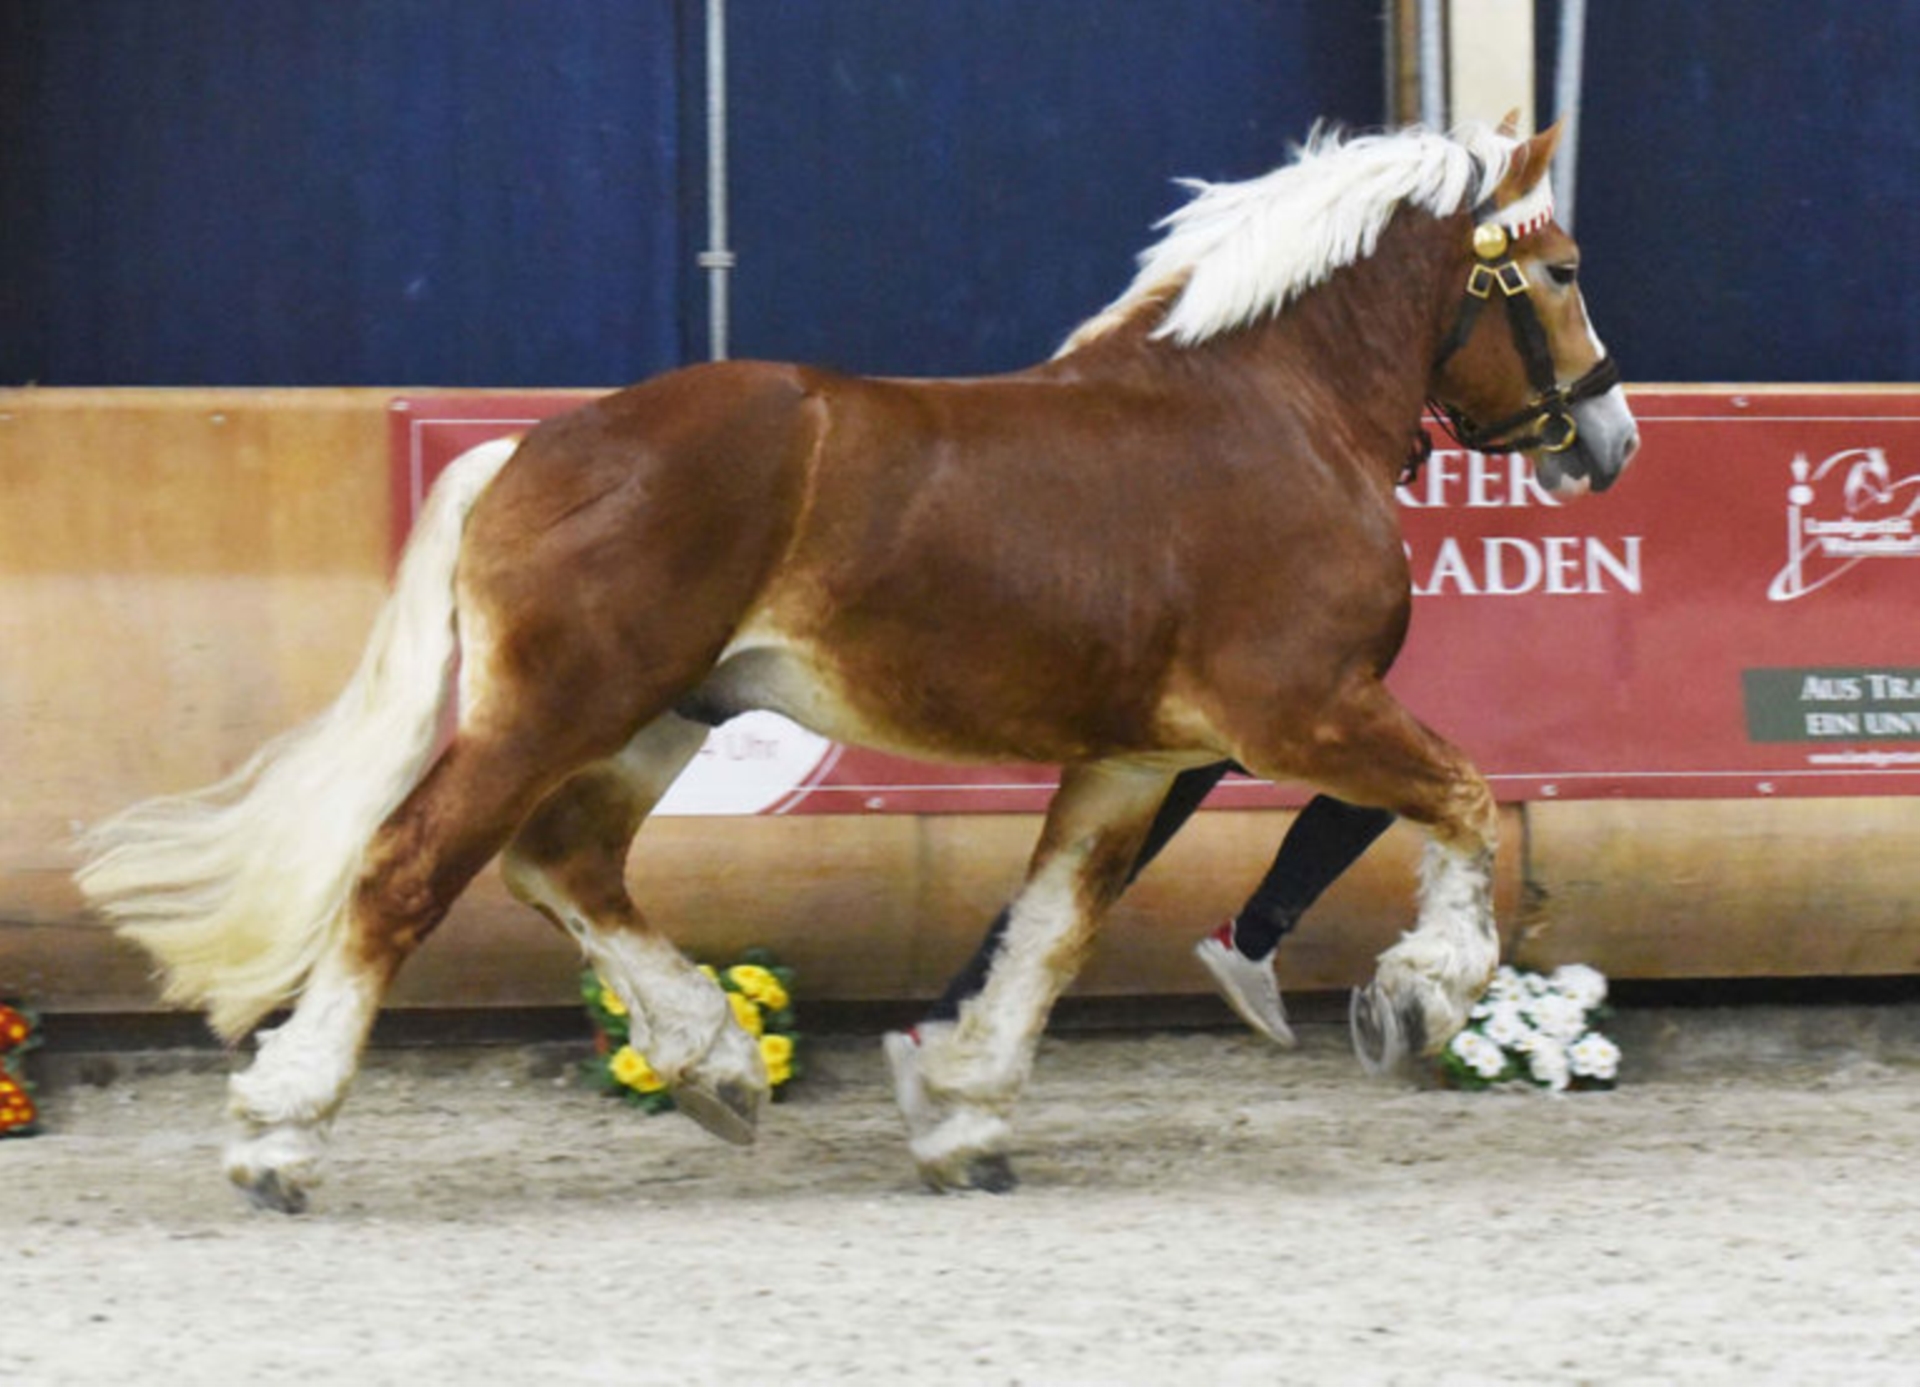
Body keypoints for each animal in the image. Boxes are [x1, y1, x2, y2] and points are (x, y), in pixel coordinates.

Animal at [77, 120, 1638, 1209]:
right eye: (1561, 272)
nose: (1610, 442)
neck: (1270, 411)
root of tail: (531, 448)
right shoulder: (1300, 714)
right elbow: (1465, 799)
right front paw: (1415, 996)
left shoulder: (1137, 756)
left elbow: (1050, 927)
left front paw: (962, 1114)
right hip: (565, 705)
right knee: (411, 866)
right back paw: (281, 1134)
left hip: (656, 716)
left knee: (563, 862)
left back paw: (713, 1064)